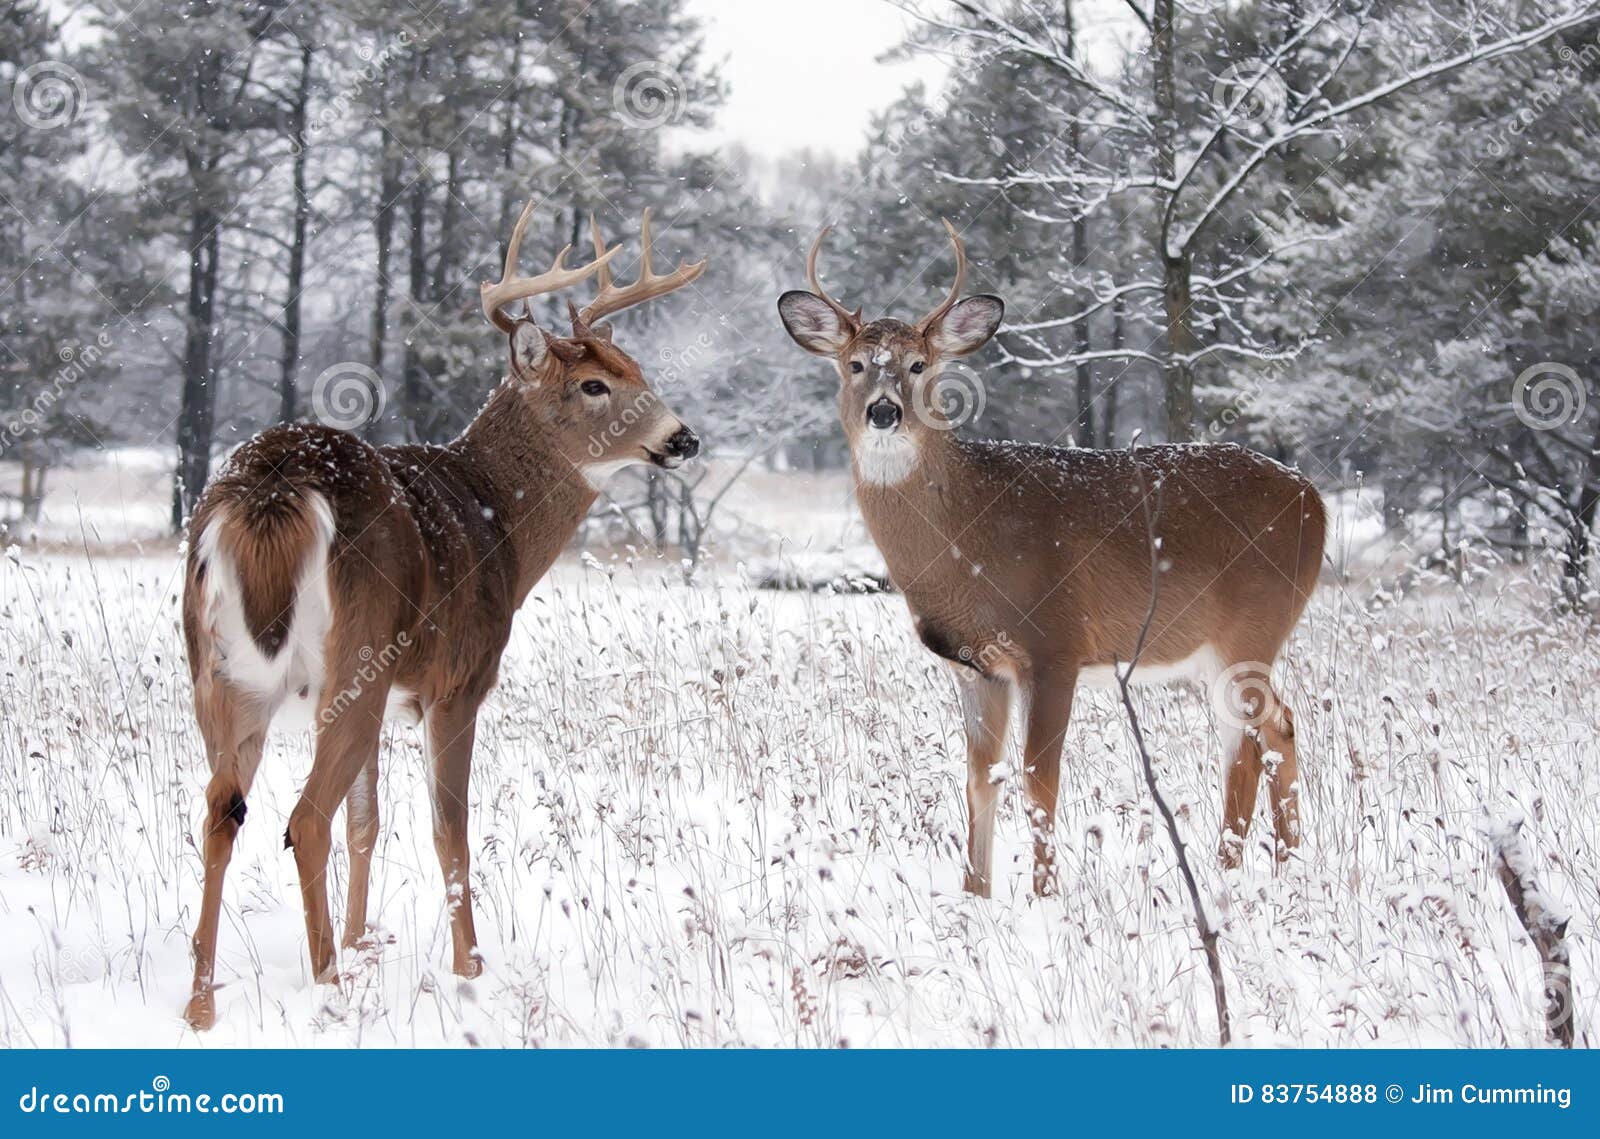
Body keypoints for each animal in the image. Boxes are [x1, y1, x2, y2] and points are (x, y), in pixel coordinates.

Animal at [179, 201, 705, 1029]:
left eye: (638, 370)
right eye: (593, 384)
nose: (683, 438)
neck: (500, 522)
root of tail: (271, 491)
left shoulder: (395, 691)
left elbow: (369, 821)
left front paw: (364, 942)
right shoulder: (458, 679)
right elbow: (448, 827)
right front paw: (471, 968)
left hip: (222, 673)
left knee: (220, 812)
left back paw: (202, 1005)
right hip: (350, 662)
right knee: (303, 818)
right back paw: (327, 990)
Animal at [777, 220, 1325, 898]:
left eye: (918, 364)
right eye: (853, 364)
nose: (884, 410)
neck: (970, 540)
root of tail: (1315, 499)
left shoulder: (1056, 644)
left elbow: (1040, 782)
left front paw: (1045, 896)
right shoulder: (974, 666)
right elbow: (980, 780)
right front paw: (976, 895)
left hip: (1250, 631)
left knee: (1249, 743)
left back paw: (1230, 873)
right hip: (1222, 648)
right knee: (1277, 727)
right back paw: (1283, 866)